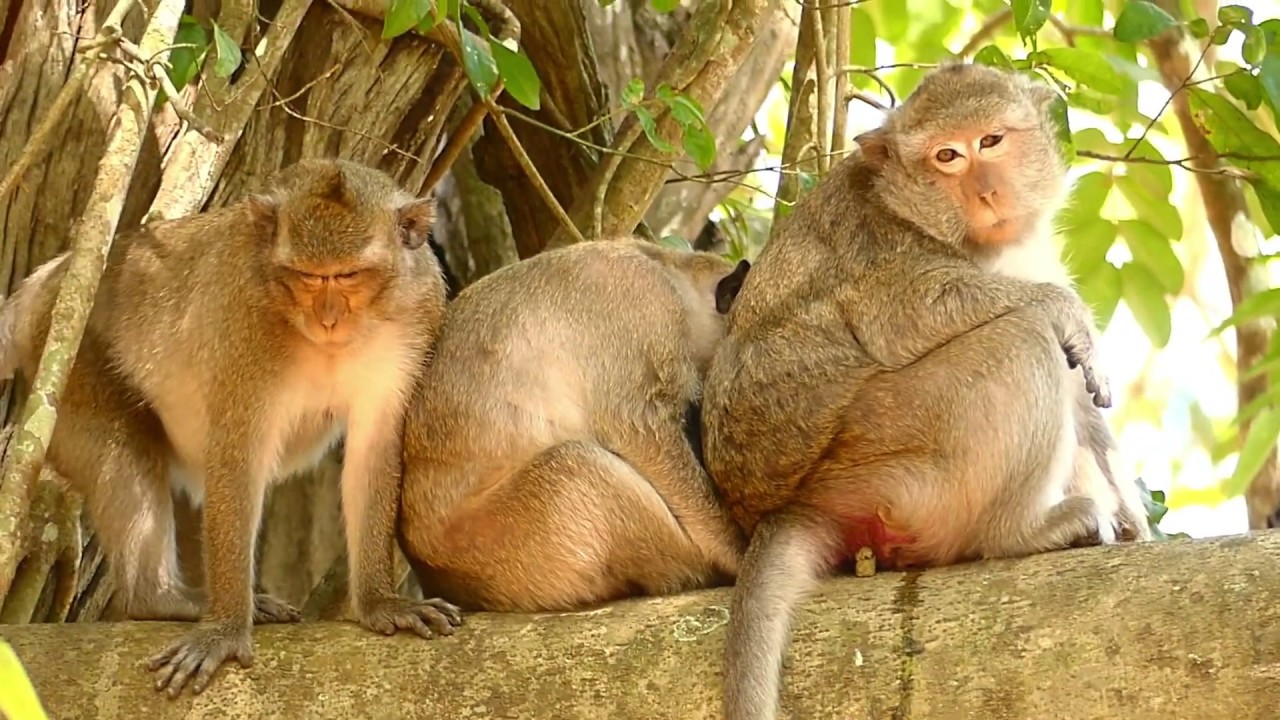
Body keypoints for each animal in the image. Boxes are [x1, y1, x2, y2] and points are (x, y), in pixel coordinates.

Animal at [0, 158, 463, 697]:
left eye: (348, 275)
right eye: (305, 277)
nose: (327, 317)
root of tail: (51, 277)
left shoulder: (415, 320)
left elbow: (375, 448)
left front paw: (379, 603)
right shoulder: (245, 328)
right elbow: (239, 455)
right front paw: (224, 629)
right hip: (65, 356)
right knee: (124, 451)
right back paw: (160, 599)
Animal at [396, 239, 751, 613]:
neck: (672, 274)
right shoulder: (643, 305)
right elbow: (641, 428)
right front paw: (736, 551)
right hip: (501, 542)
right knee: (576, 463)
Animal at [698, 62, 1128, 720]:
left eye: (991, 141)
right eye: (947, 156)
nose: (987, 192)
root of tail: (783, 511)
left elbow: (1085, 394)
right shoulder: (877, 241)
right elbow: (910, 315)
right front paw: (1063, 310)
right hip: (885, 455)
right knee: (1023, 339)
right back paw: (1019, 533)